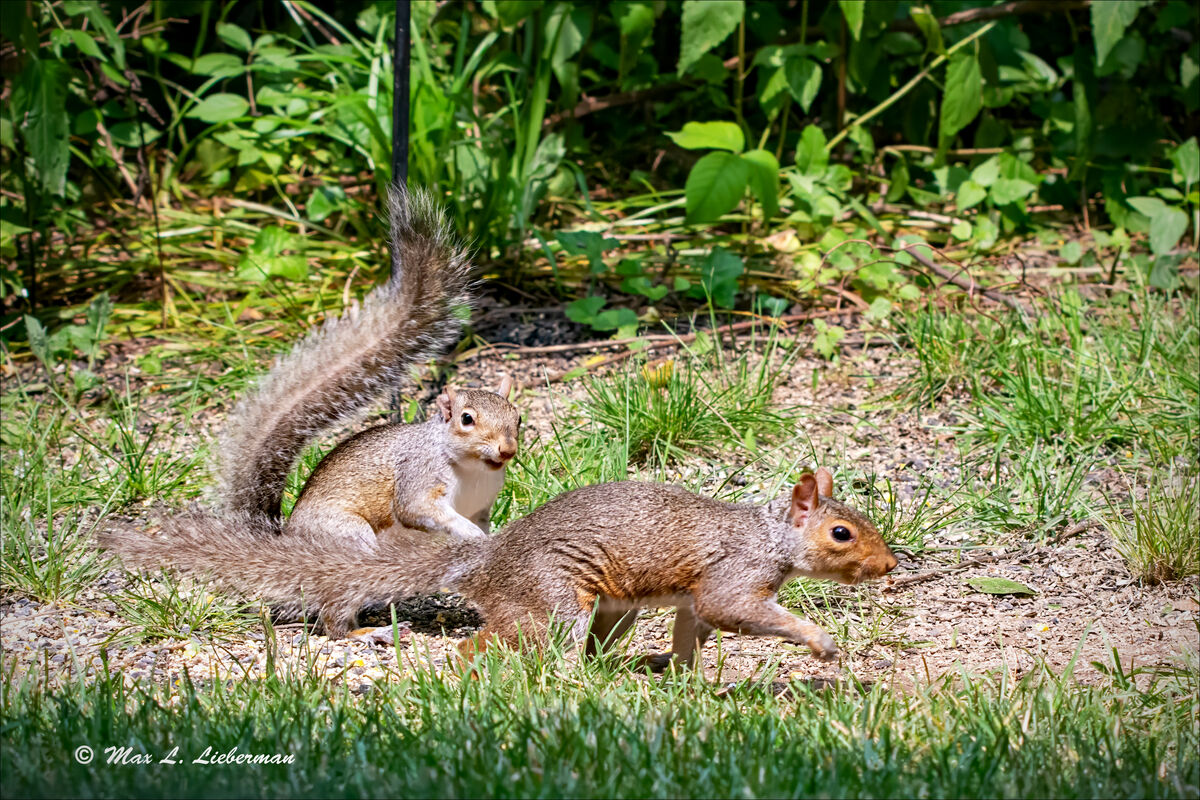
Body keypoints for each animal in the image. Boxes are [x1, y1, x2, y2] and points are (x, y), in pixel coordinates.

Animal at [199, 185, 518, 546]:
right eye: (466, 419)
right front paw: (473, 537)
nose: (507, 449)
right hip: (350, 532)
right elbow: (417, 510)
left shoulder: (482, 507)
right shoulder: (417, 479)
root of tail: (285, 539)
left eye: (518, 418)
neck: (474, 470)